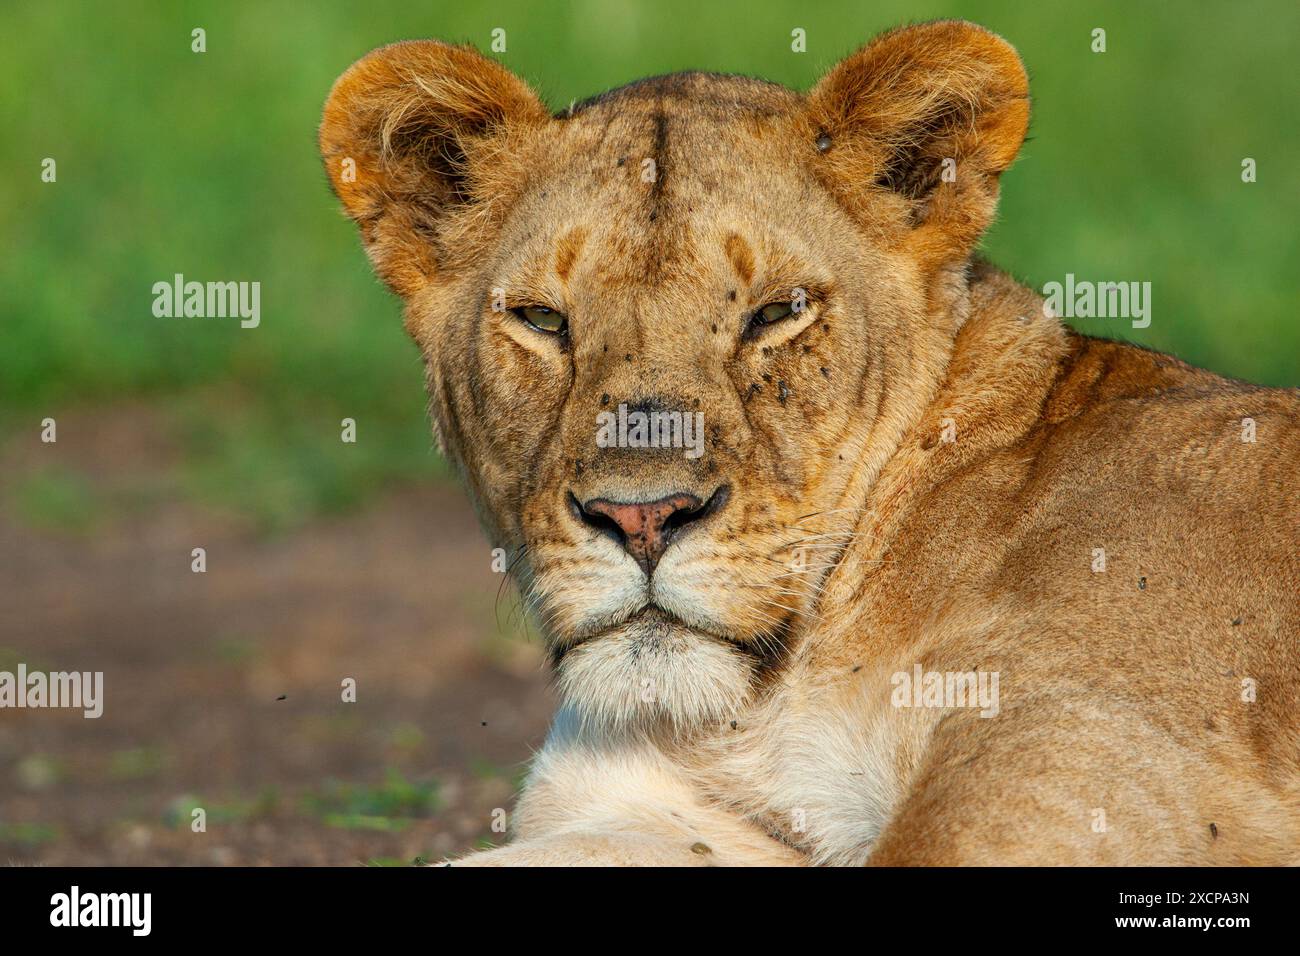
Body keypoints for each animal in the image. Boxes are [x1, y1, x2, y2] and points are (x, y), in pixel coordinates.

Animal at [319, 20, 1300, 865]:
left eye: (777, 313)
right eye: (542, 320)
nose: (642, 520)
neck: (756, 720)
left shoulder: (1069, 753)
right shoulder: (656, 816)